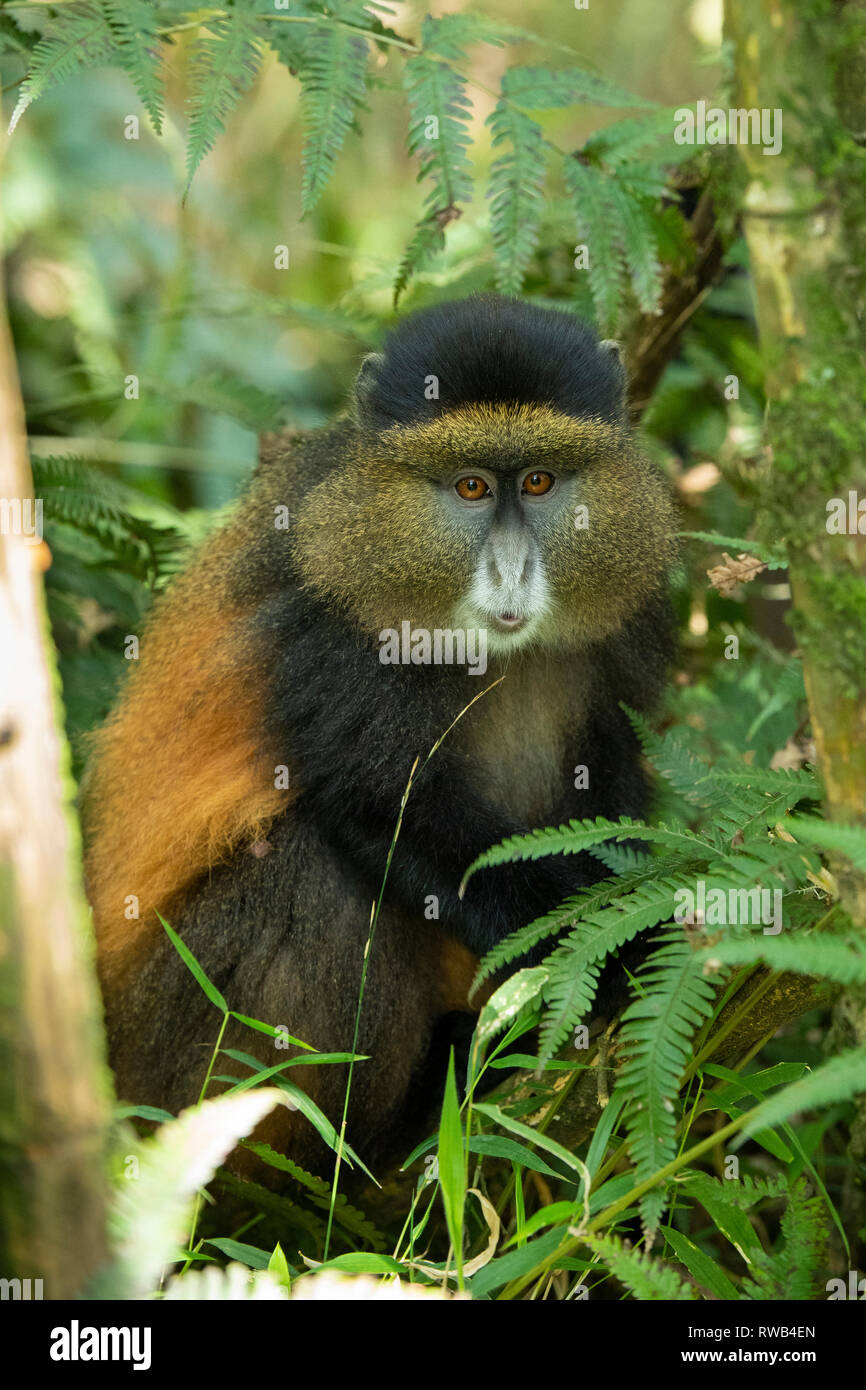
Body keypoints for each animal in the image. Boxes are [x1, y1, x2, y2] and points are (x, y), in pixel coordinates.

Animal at [82, 293, 677, 1182]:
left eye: (539, 481)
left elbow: (608, 788)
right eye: (470, 486)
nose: (510, 572)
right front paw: (608, 950)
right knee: (308, 875)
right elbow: (379, 806)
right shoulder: (334, 624)